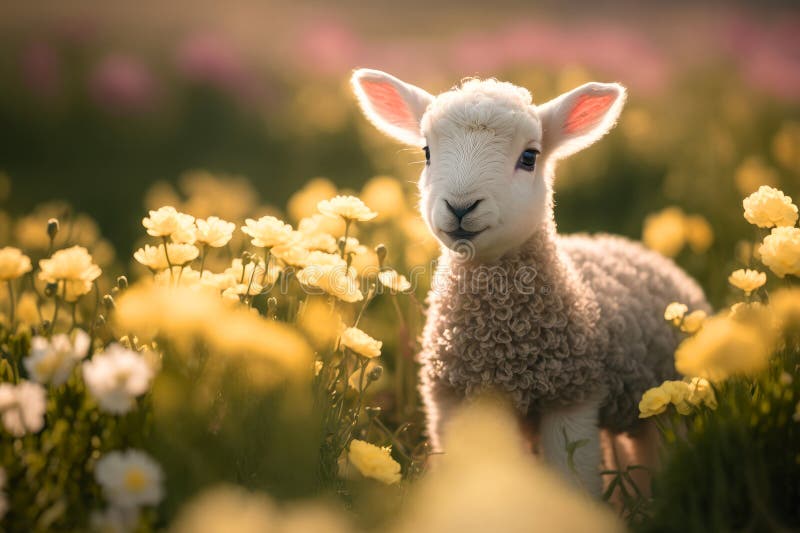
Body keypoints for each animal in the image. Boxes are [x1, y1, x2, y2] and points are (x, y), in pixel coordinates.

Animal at [350, 69, 710, 495]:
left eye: (529, 157)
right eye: (426, 152)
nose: (460, 206)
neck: (502, 348)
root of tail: (630, 246)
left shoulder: (570, 396)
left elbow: (571, 477)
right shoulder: (451, 400)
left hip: (670, 398)